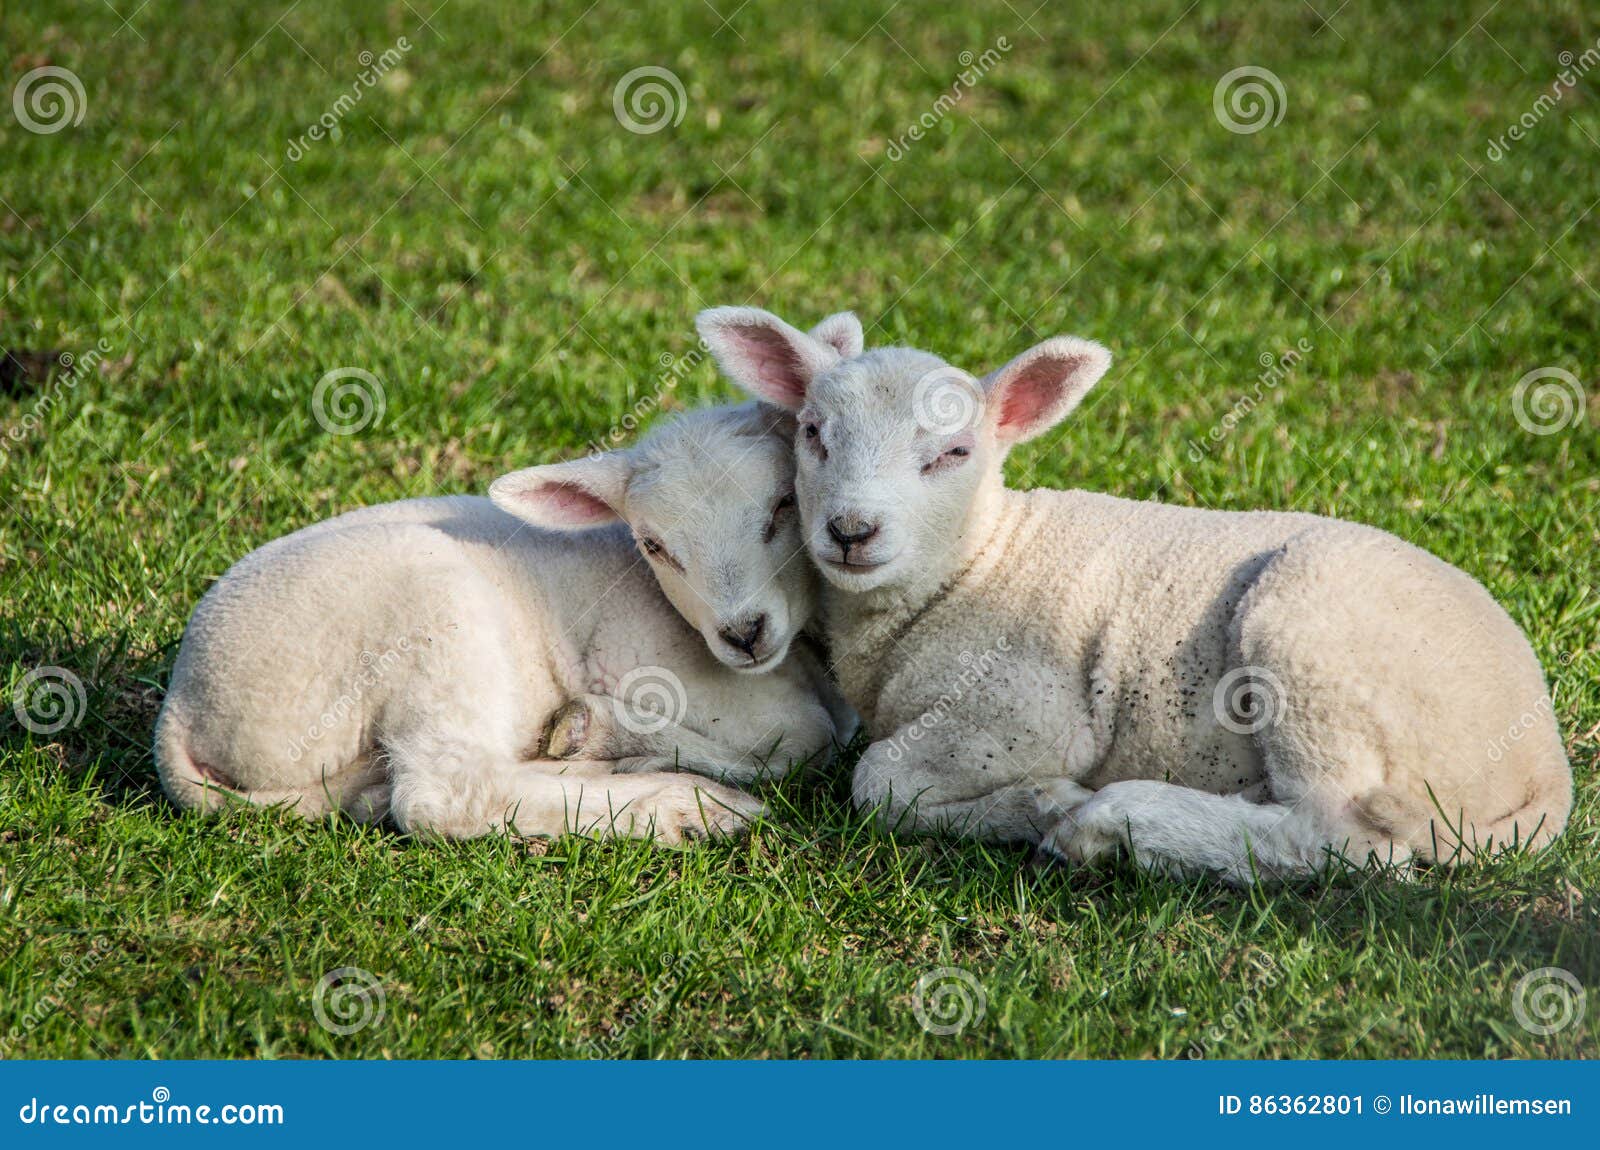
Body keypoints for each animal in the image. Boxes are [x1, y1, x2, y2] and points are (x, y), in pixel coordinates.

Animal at [153, 381, 860, 844]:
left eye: (783, 506)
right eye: (653, 545)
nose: (743, 634)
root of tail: (181, 714)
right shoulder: (646, 663)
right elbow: (806, 738)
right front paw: (609, 736)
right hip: (429, 625)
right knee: (444, 795)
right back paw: (684, 807)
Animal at [696, 305, 1573, 883]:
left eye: (953, 453)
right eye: (813, 433)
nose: (851, 530)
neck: (974, 565)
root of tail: (1541, 766)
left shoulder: (1021, 713)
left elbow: (878, 782)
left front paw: (1039, 804)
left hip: (1311, 645)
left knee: (1341, 837)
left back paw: (1118, 825)